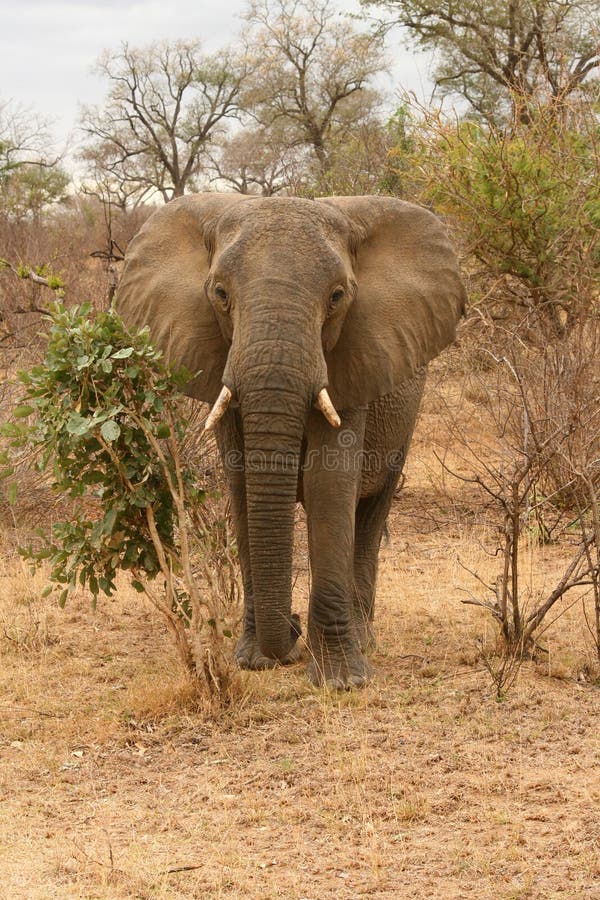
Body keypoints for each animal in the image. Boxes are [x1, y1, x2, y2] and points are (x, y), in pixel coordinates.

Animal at [117, 193, 466, 689]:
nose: (292, 631)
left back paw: (364, 639)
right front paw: (254, 659)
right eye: (220, 294)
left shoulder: (351, 361)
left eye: (337, 297)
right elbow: (243, 487)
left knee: (370, 514)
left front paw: (341, 681)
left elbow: (329, 487)